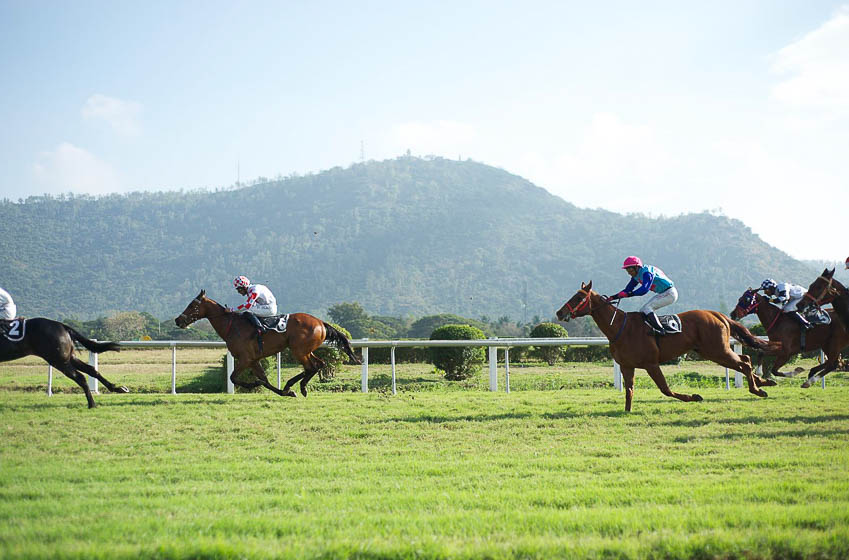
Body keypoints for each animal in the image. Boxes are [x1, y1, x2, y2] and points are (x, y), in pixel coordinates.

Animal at [174, 290, 360, 397]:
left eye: (192, 305)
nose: (178, 320)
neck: (232, 325)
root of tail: (321, 322)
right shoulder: (253, 360)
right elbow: (265, 380)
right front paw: (285, 392)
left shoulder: (245, 359)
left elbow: (234, 378)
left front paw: (255, 384)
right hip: (306, 350)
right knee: (319, 364)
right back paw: (295, 387)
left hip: (298, 350)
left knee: (311, 367)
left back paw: (298, 386)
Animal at [556, 282, 782, 411]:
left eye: (578, 297)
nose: (559, 313)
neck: (620, 328)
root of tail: (718, 314)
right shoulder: (627, 366)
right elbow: (629, 390)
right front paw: (627, 411)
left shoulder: (651, 363)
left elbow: (665, 389)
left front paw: (694, 396)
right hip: (713, 351)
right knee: (746, 359)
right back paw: (764, 382)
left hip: (717, 350)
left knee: (744, 363)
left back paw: (758, 389)